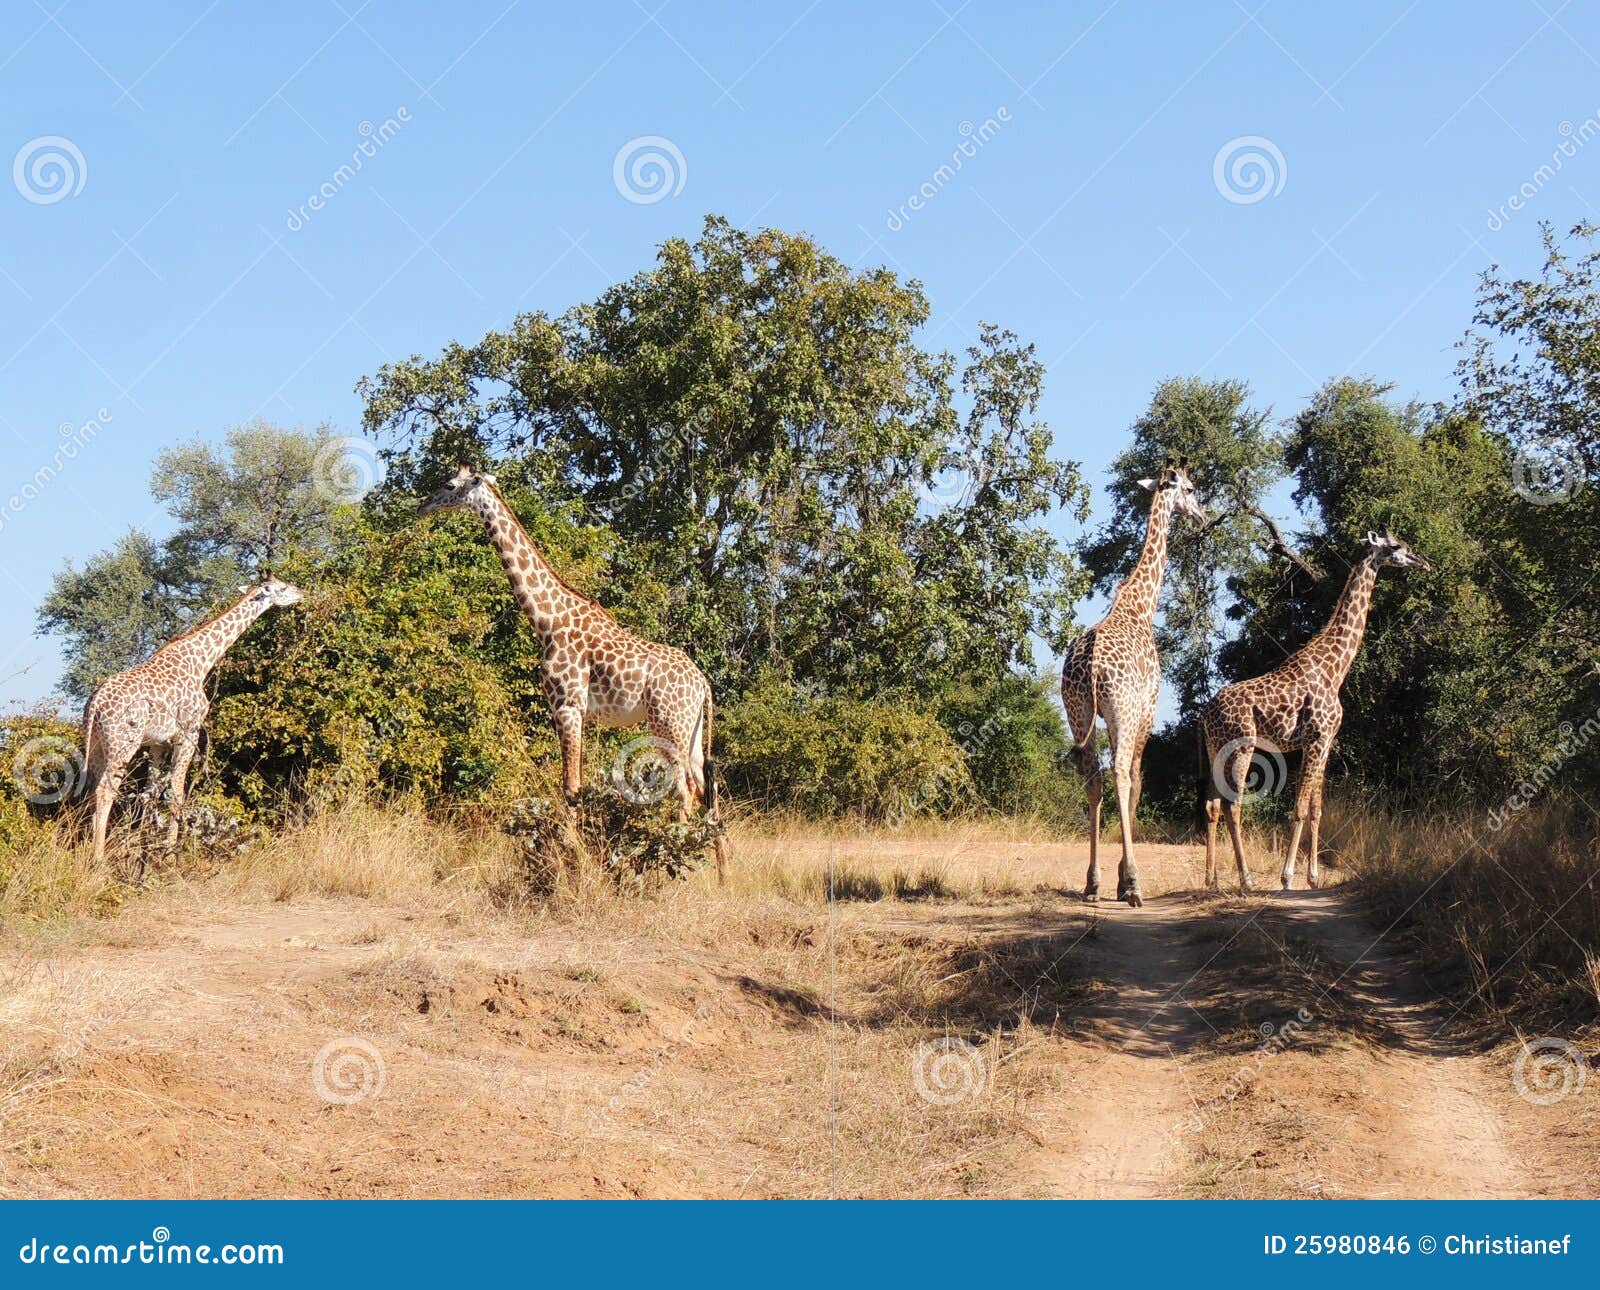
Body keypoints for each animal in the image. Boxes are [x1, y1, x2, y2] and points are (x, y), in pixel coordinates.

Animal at [80, 577, 306, 872]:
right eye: (283, 588)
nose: (302, 593)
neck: (202, 660)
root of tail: (95, 702)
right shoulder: (188, 732)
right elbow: (176, 793)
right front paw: (169, 856)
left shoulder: (157, 743)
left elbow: (151, 792)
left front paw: (144, 851)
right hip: (123, 743)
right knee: (106, 790)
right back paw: (99, 859)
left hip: (97, 743)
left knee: (91, 789)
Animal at [419, 465, 729, 878]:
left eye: (449, 485)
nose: (422, 505)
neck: (546, 620)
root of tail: (704, 683)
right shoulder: (566, 709)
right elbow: (572, 785)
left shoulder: (567, 705)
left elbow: (571, 787)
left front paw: (574, 857)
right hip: (690, 729)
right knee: (705, 785)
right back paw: (718, 869)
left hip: (668, 723)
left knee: (684, 788)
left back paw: (673, 860)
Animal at [1061, 459, 1206, 906]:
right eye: (1191, 489)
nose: (1202, 514)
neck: (1143, 606)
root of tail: (1090, 663)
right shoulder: (1148, 709)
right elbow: (1138, 779)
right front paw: (1127, 879)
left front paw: (1112, 879)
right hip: (1122, 712)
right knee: (1121, 774)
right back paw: (1134, 884)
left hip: (1078, 713)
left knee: (1093, 778)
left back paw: (1091, 883)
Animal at [1201, 530, 1431, 892]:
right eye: (1397, 547)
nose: (1424, 563)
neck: (1336, 667)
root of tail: (1205, 714)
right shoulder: (1315, 739)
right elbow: (1298, 808)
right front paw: (1287, 877)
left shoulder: (1325, 742)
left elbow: (1316, 809)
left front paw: (1313, 876)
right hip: (1243, 745)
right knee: (1232, 804)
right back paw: (1247, 880)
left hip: (1215, 749)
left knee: (1211, 803)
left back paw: (1211, 879)